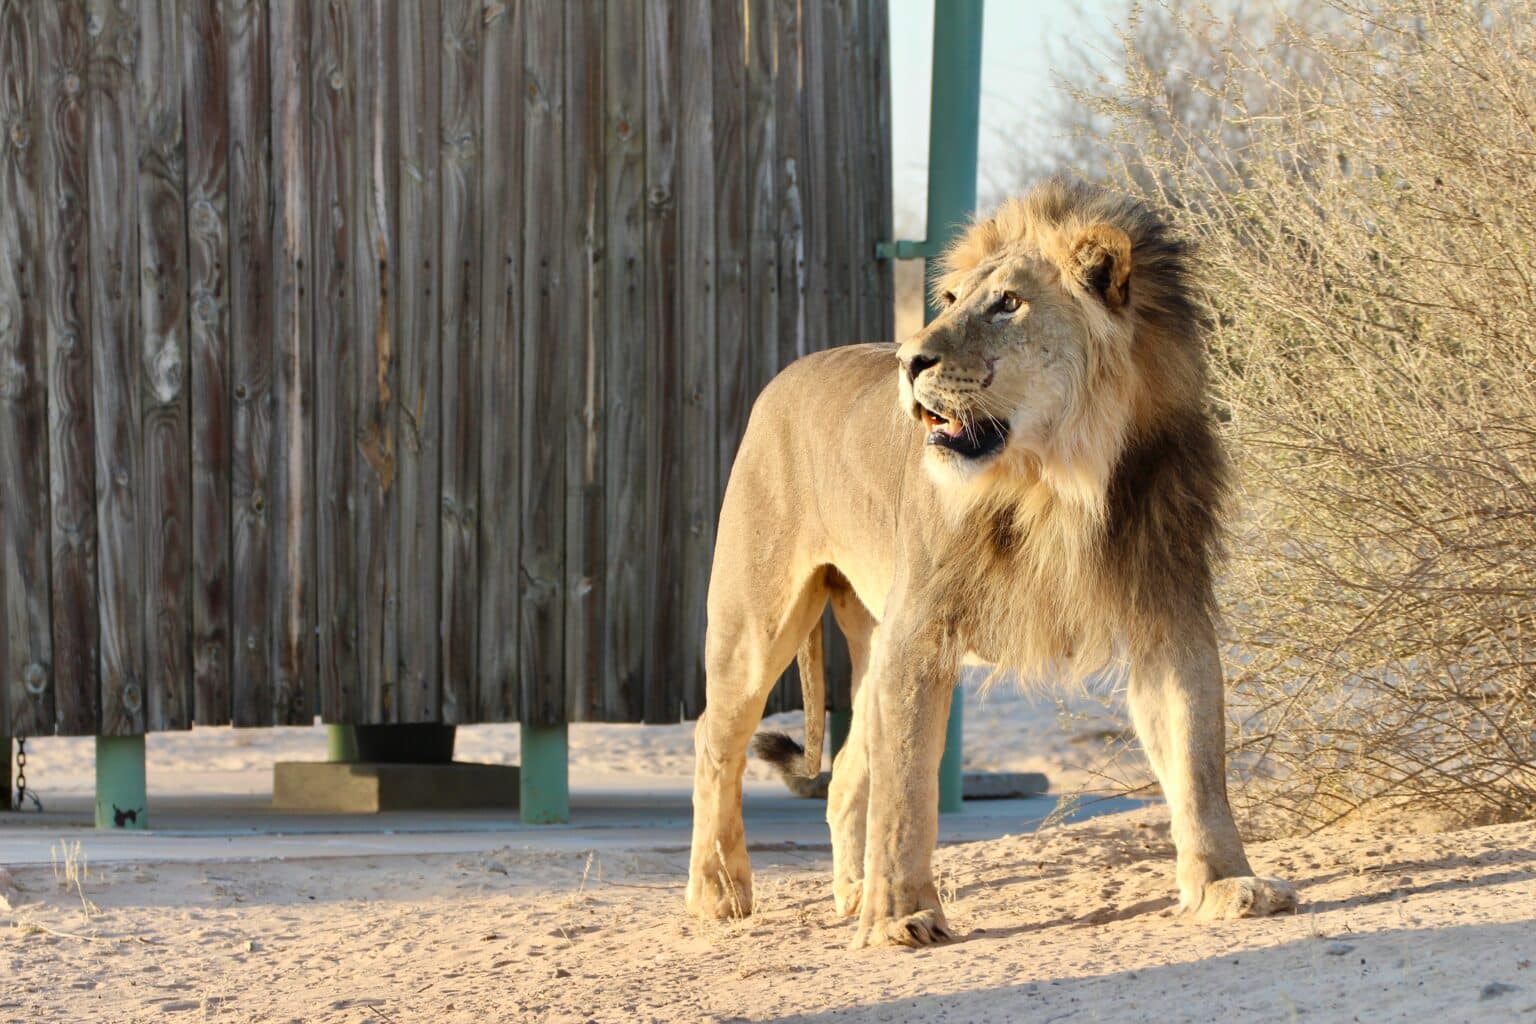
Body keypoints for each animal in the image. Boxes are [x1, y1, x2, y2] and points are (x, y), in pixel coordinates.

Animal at [685, 179, 1296, 947]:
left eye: (1008, 303)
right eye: (949, 300)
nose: (908, 361)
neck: (1056, 480)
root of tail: (787, 373)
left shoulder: (1168, 613)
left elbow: (1197, 760)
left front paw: (1225, 883)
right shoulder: (919, 632)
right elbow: (908, 789)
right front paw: (902, 917)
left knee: (849, 768)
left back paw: (852, 893)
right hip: (756, 623)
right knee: (716, 741)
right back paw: (719, 893)